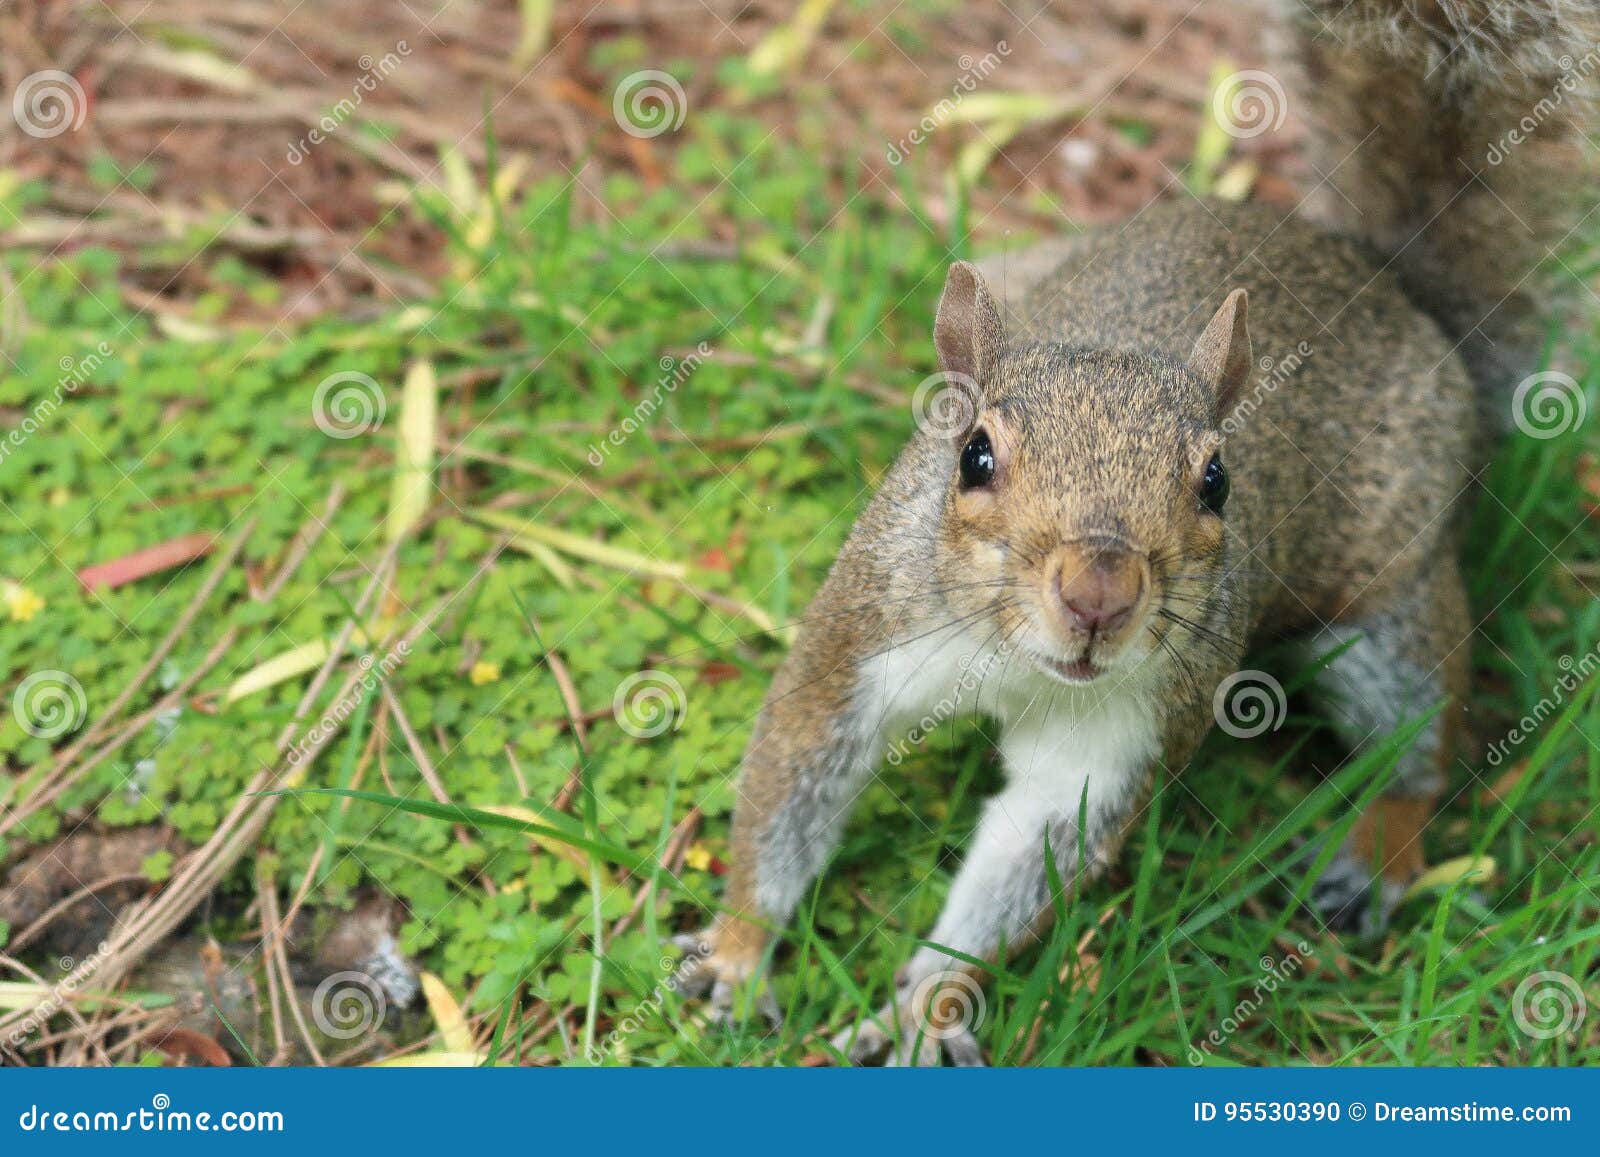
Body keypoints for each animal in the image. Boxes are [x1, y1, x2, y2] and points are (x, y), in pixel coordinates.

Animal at [676, 0, 1598, 1065]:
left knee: (1422, 735)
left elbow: (1033, 840)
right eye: (973, 457)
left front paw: (928, 1003)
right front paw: (739, 950)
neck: (1015, 659)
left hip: (1386, 602)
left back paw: (1372, 856)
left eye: (1218, 481)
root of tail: (1399, 295)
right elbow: (794, 768)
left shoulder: (1125, 730)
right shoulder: (864, 633)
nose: (1099, 597)